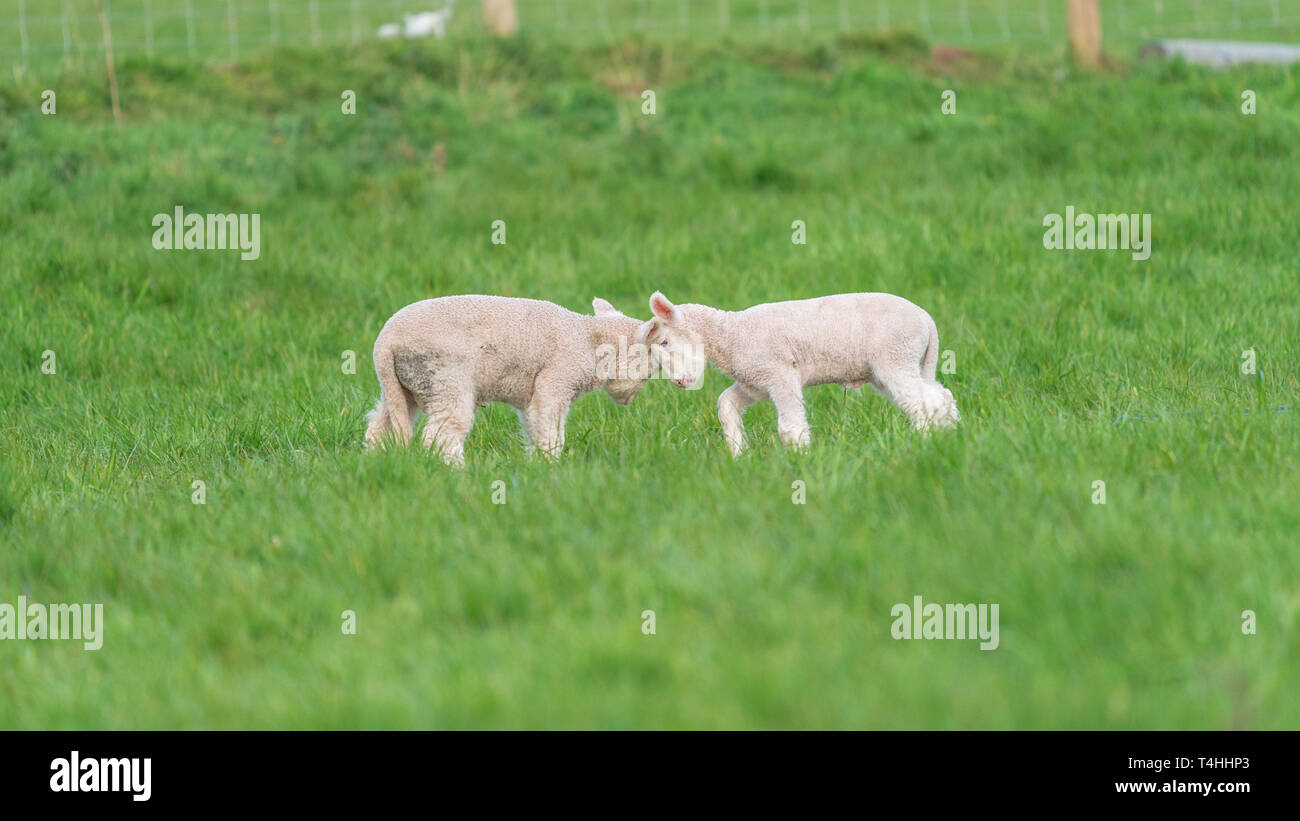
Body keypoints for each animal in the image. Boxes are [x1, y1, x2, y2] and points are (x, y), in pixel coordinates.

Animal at [363, 294, 703, 467]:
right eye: (655, 358)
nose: (628, 400)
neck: (590, 340)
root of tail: (385, 343)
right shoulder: (556, 382)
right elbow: (552, 430)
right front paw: (552, 466)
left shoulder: (532, 396)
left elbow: (535, 426)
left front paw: (536, 464)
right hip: (446, 376)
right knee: (441, 435)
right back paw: (457, 473)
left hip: (406, 385)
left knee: (381, 427)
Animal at [643, 291, 961, 455]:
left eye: (664, 342)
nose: (680, 382)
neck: (730, 334)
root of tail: (925, 319)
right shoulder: (755, 382)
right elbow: (725, 405)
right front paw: (739, 453)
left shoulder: (780, 373)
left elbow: (790, 426)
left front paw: (800, 457)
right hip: (895, 365)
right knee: (939, 396)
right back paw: (948, 433)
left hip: (895, 356)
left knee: (924, 402)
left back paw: (923, 442)